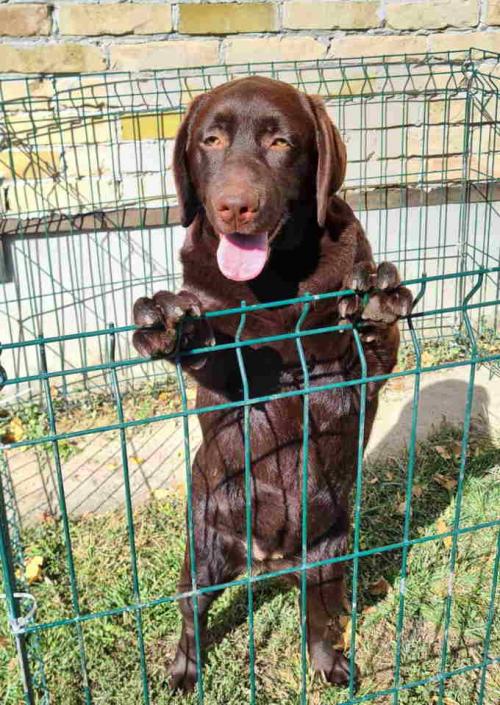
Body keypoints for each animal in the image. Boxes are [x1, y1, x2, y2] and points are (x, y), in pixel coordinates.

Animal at [131, 75, 412, 688]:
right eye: (210, 140)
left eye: (281, 142)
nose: (235, 206)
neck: (276, 279)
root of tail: (268, 559)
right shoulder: (226, 383)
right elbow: (212, 349)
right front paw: (171, 321)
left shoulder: (366, 378)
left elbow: (377, 342)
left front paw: (377, 301)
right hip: (205, 547)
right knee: (191, 614)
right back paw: (184, 671)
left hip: (328, 559)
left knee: (319, 624)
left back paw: (331, 667)